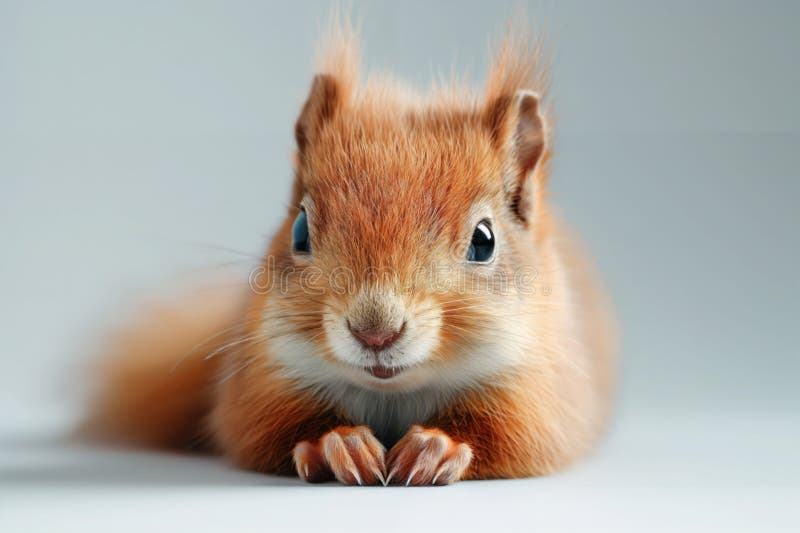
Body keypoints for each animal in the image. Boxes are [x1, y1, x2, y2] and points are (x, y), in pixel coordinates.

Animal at [82, 18, 617, 486]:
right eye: (300, 230)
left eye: (483, 241)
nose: (374, 332)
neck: (395, 394)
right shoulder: (260, 384)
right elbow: (267, 430)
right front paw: (338, 444)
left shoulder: (546, 392)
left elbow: (515, 437)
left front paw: (436, 447)